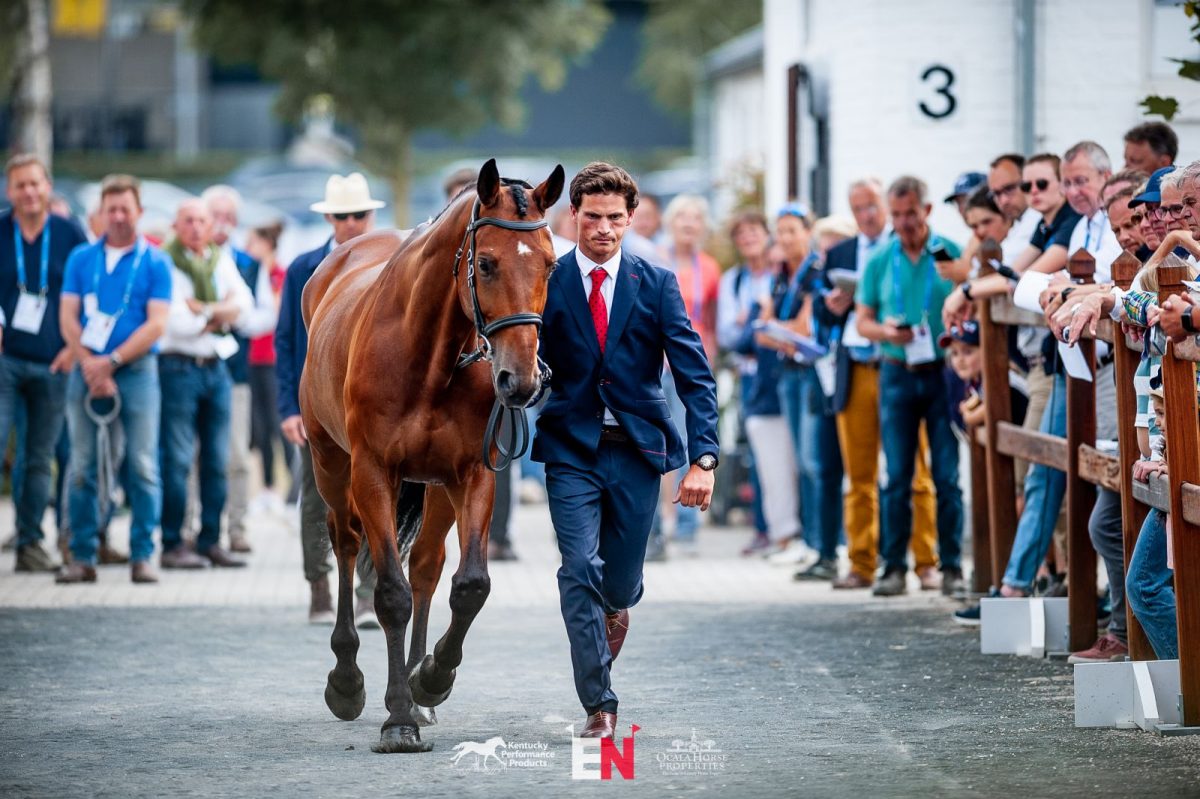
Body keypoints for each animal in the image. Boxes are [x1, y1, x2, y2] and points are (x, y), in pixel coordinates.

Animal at [300, 158, 564, 753]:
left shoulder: (472, 472)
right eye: (485, 264)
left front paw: (430, 679)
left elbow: (469, 585)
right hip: (331, 463)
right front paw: (396, 717)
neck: (427, 358)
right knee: (345, 544)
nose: (521, 380)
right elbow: (389, 593)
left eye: (552, 264)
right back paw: (346, 680)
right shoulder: (373, 472)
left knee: (425, 566)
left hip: (436, 487)